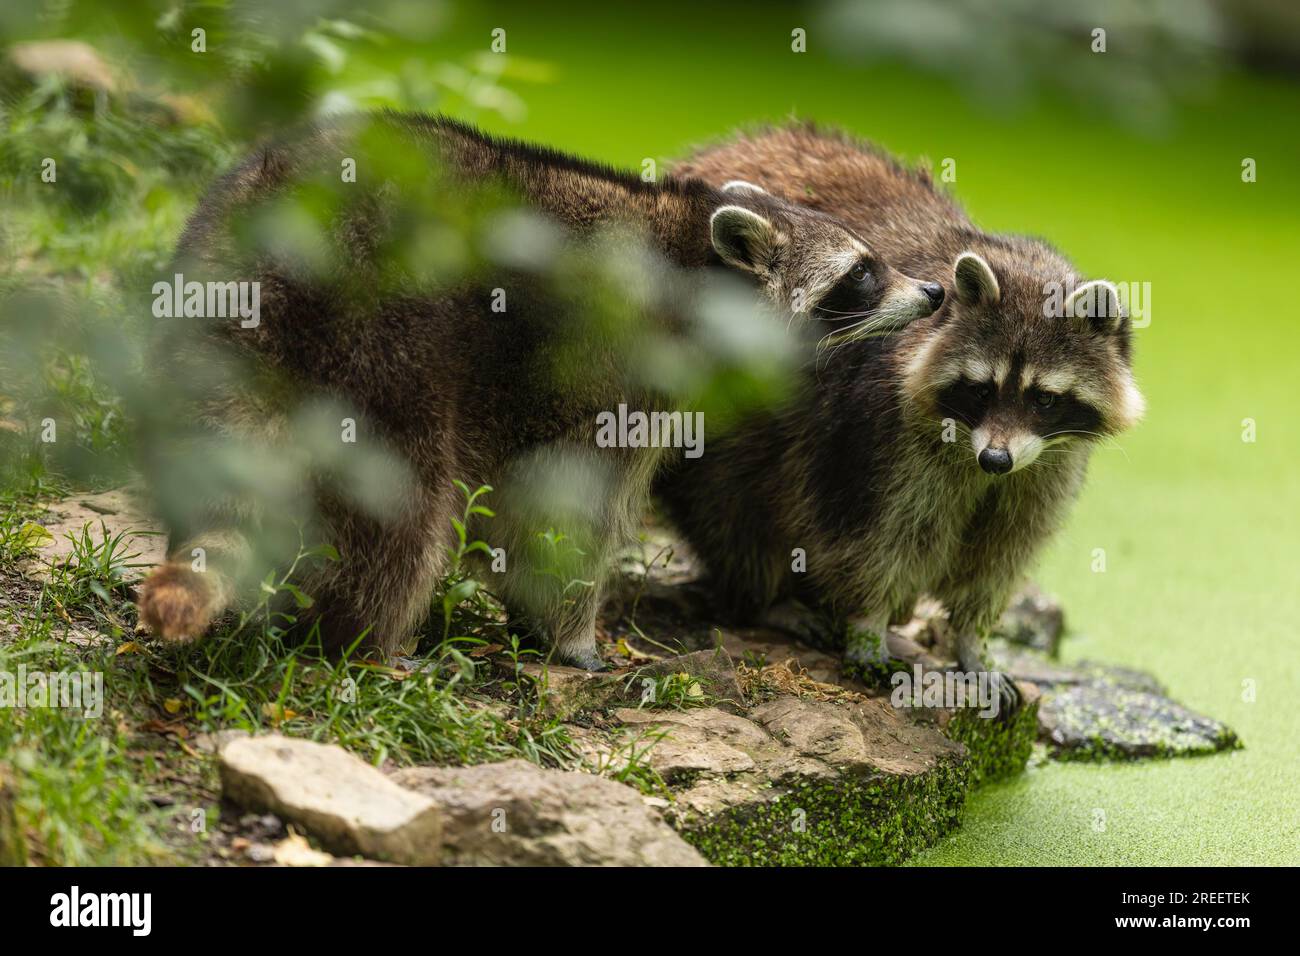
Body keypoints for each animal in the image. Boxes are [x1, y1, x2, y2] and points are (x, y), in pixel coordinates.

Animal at [135, 114, 942, 670]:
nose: (935, 292)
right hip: (378, 341)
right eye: (862, 273)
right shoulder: (613, 367)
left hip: (199, 322)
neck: (690, 258)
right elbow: (562, 511)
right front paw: (572, 634)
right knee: (404, 500)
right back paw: (365, 638)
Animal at [659, 125, 1144, 707]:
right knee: (729, 499)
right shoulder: (874, 429)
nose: (995, 459)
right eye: (981, 390)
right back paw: (765, 596)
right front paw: (868, 624)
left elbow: (1000, 556)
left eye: (1044, 399)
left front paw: (973, 641)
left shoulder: (1046, 466)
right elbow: (872, 537)